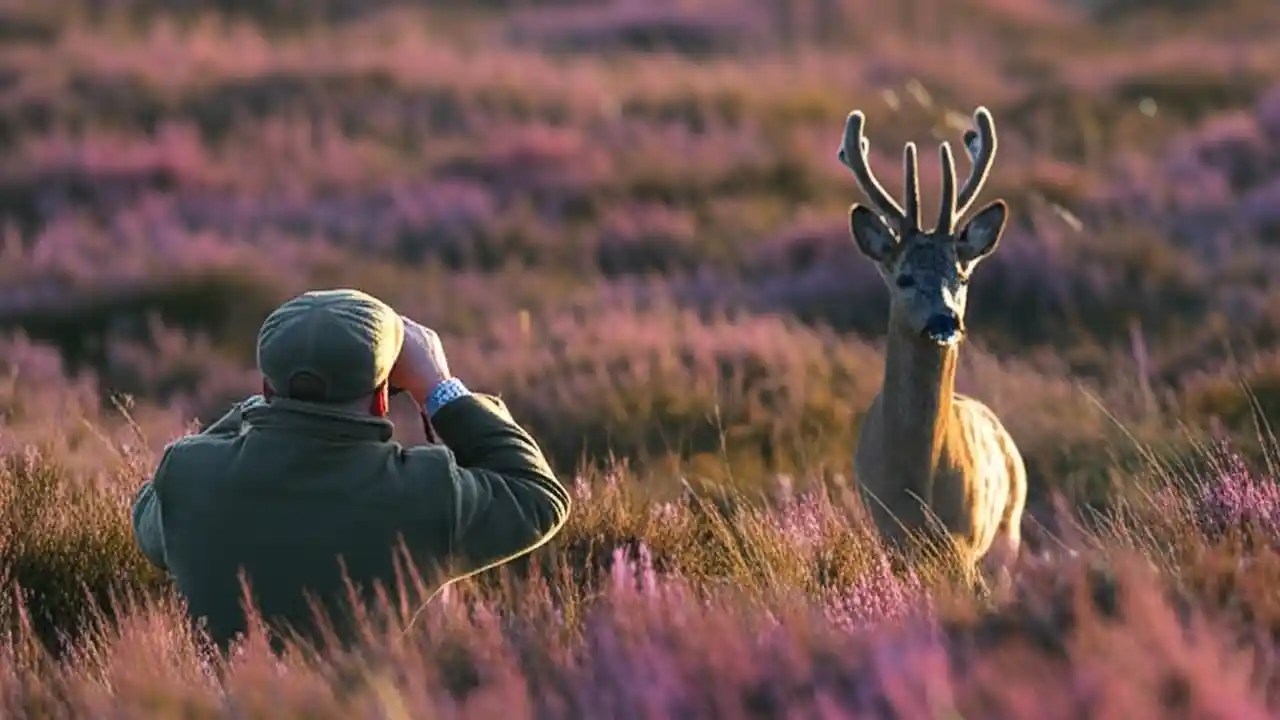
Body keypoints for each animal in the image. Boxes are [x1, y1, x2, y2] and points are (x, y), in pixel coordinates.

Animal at [836, 106, 1027, 589]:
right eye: (904, 277)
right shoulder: (889, 534)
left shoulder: (965, 540)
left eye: (961, 276)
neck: (918, 486)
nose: (945, 320)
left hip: (1008, 529)